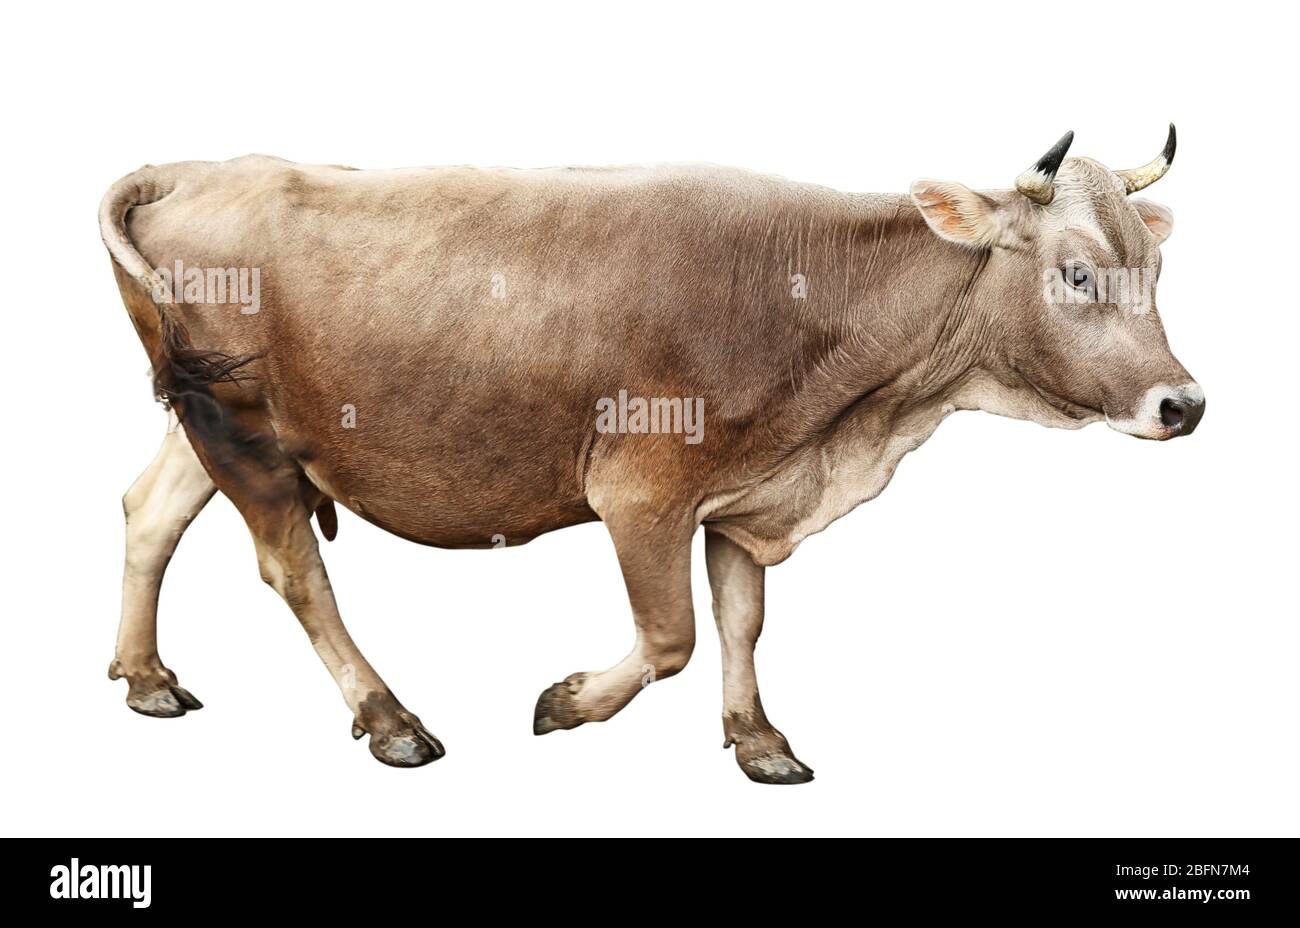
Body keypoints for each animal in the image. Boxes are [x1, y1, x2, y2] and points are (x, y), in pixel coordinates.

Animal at [100, 127, 1201, 784]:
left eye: (1152, 265)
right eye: (1074, 272)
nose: (1183, 402)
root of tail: (200, 167)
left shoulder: (745, 497)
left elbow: (743, 621)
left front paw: (759, 741)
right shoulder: (640, 489)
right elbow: (671, 635)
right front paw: (565, 703)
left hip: (203, 418)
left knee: (149, 512)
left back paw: (145, 676)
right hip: (243, 429)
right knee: (294, 565)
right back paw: (390, 717)